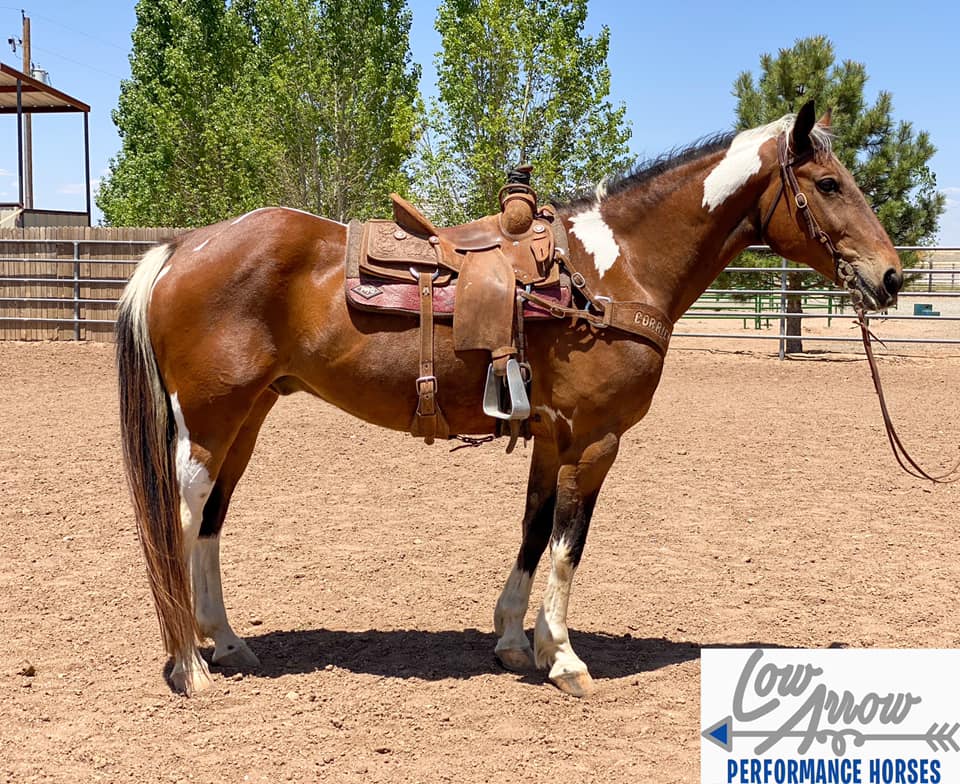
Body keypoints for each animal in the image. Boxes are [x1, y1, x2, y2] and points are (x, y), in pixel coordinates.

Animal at [116, 101, 902, 697]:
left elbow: (534, 529)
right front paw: (565, 657)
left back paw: (225, 643)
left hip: (245, 421)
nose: (891, 276)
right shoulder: (596, 438)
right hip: (209, 426)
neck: (607, 275)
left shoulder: (553, 435)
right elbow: (569, 544)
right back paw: (189, 667)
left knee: (209, 523)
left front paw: (515, 642)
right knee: (179, 523)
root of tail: (183, 248)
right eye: (829, 183)